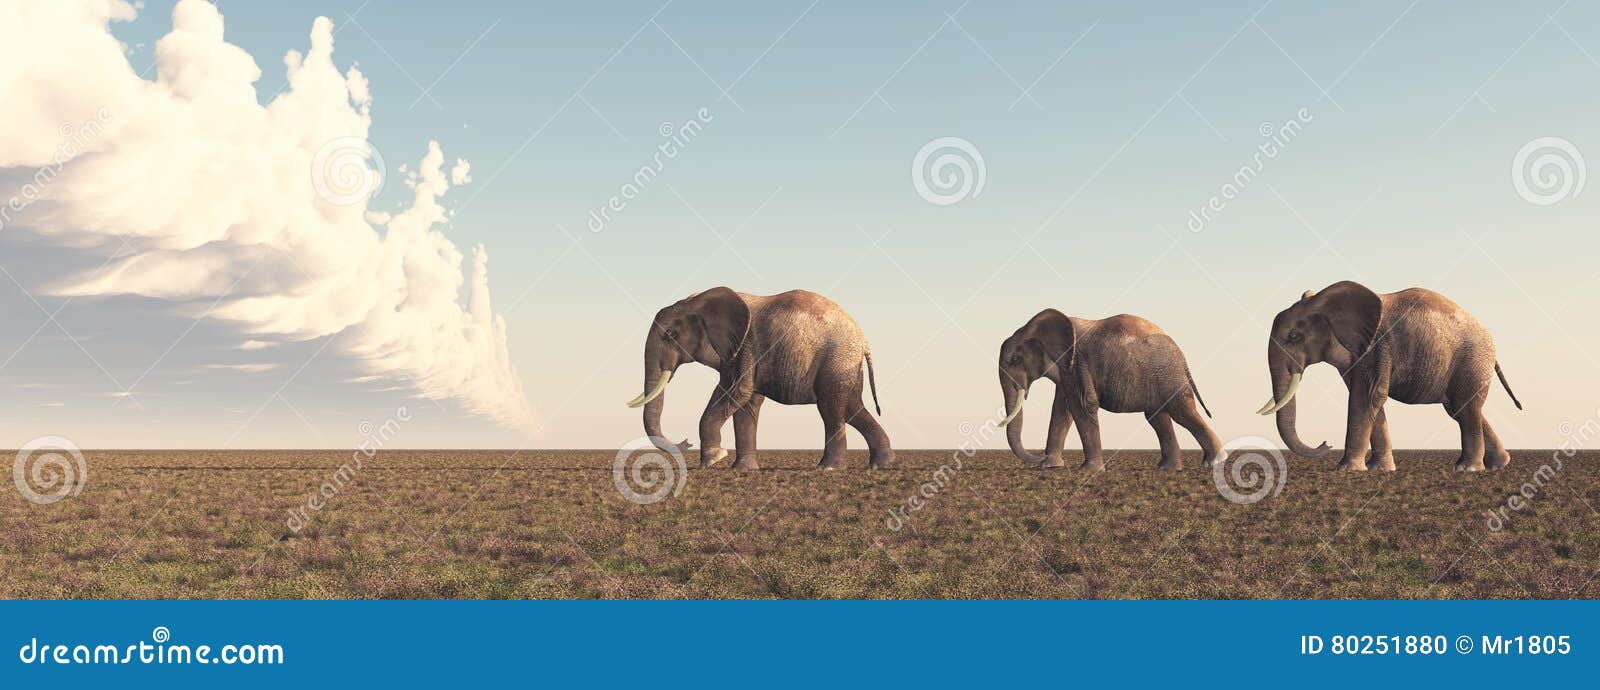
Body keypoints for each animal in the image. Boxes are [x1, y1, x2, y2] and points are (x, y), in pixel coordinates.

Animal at [627, 287, 893, 470]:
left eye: (671, 335)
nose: (685, 442)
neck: (699, 300)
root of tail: (864, 341)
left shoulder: (747, 346)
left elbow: (737, 392)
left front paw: (714, 459)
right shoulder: (736, 353)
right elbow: (744, 401)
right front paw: (741, 469)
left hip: (837, 359)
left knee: (831, 408)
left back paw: (827, 469)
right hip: (845, 365)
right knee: (852, 407)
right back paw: (881, 464)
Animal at [998, 309, 1222, 470]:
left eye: (1016, 360)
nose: (1038, 456)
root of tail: (1182, 357)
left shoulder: (1077, 362)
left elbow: (1083, 405)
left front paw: (1088, 470)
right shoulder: (1067, 370)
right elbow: (1062, 411)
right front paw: (1050, 467)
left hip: (1168, 375)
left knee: (1182, 411)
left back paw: (1214, 463)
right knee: (1158, 417)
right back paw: (1167, 469)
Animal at [1257, 280, 1523, 471]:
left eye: (1294, 336)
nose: (1325, 443)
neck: (1326, 300)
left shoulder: (1377, 348)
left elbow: (1366, 398)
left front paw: (1346, 470)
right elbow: (1373, 401)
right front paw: (1379, 469)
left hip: (1472, 360)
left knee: (1465, 409)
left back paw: (1467, 469)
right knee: (1461, 409)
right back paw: (1499, 464)